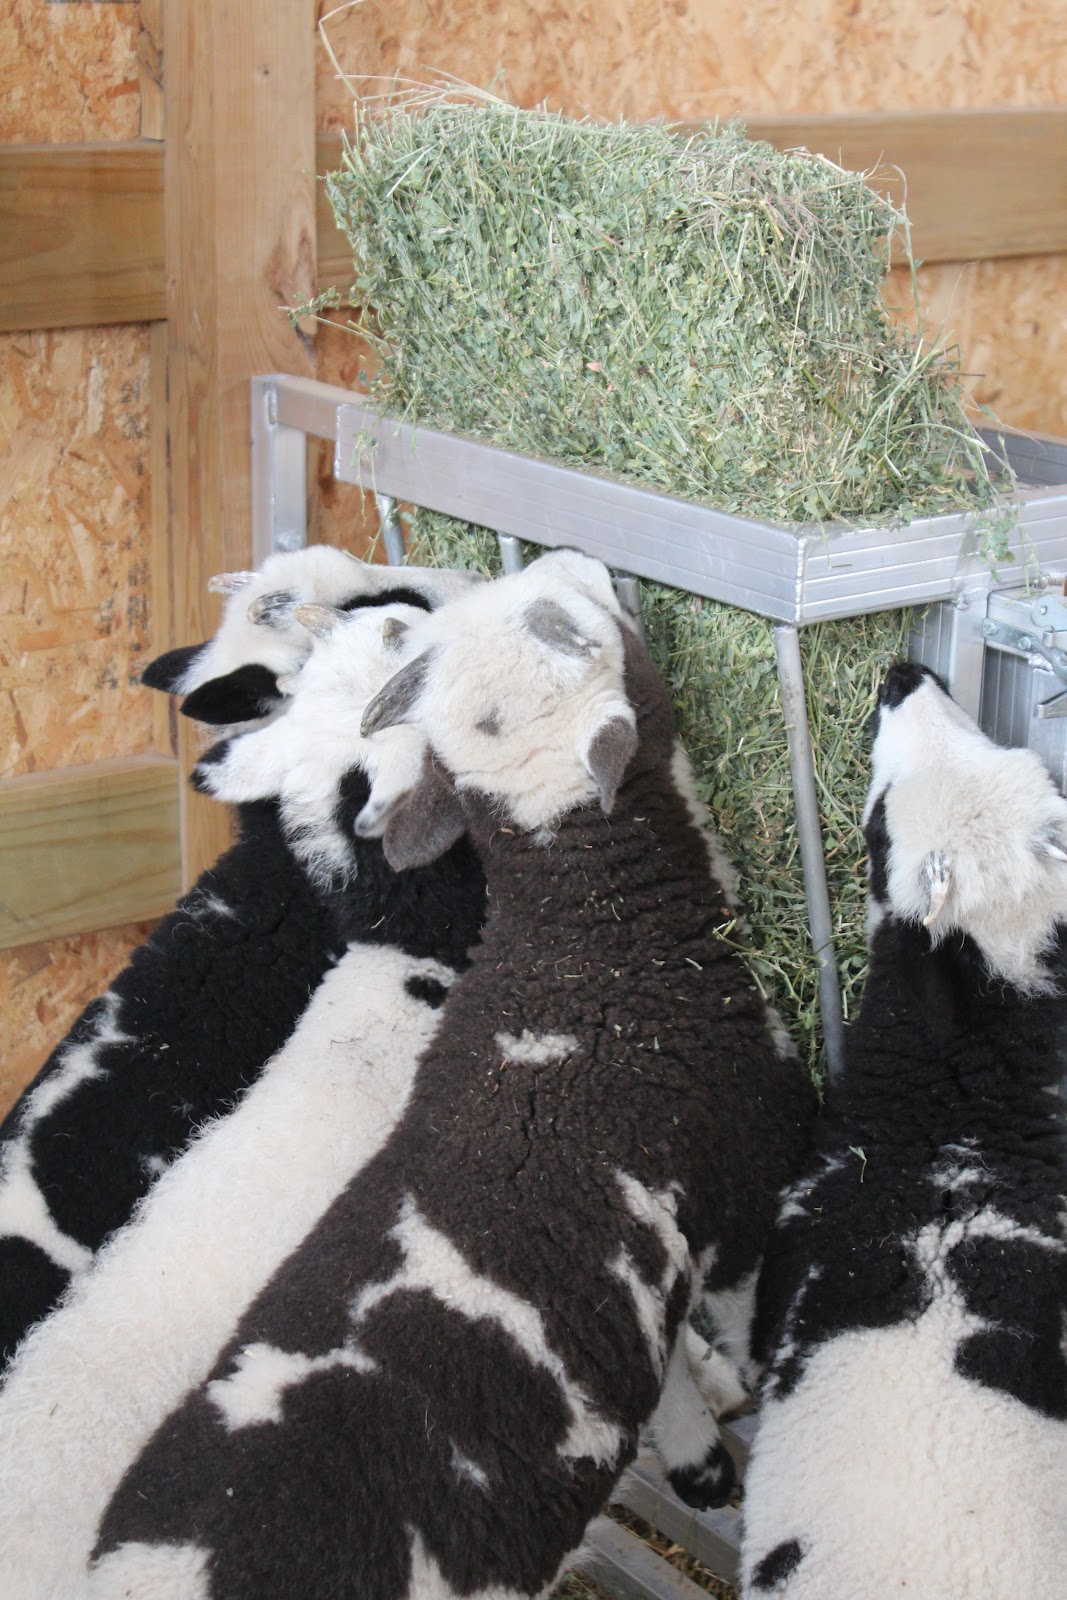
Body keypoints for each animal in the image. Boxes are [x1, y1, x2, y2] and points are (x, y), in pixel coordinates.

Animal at [85, 548, 814, 1600]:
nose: (571, 555)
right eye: (574, 626)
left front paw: (695, 1456)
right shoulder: (743, 1187)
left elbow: (667, 1361)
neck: (590, 952)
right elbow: (750, 1315)